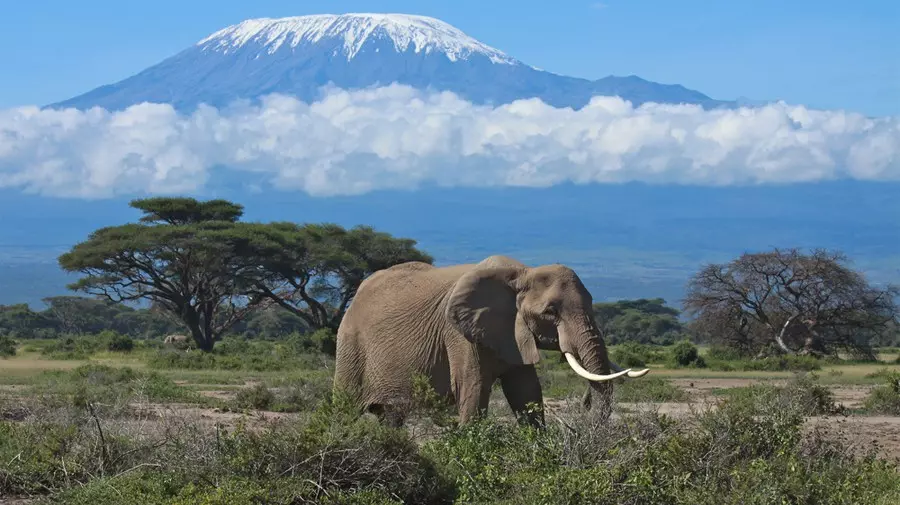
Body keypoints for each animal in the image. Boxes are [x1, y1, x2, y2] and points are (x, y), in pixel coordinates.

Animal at [330, 256, 648, 426]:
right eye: (550, 312)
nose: (584, 403)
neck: (522, 273)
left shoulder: (513, 332)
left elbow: (526, 392)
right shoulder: (457, 334)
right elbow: (472, 388)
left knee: (390, 417)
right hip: (349, 344)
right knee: (344, 408)